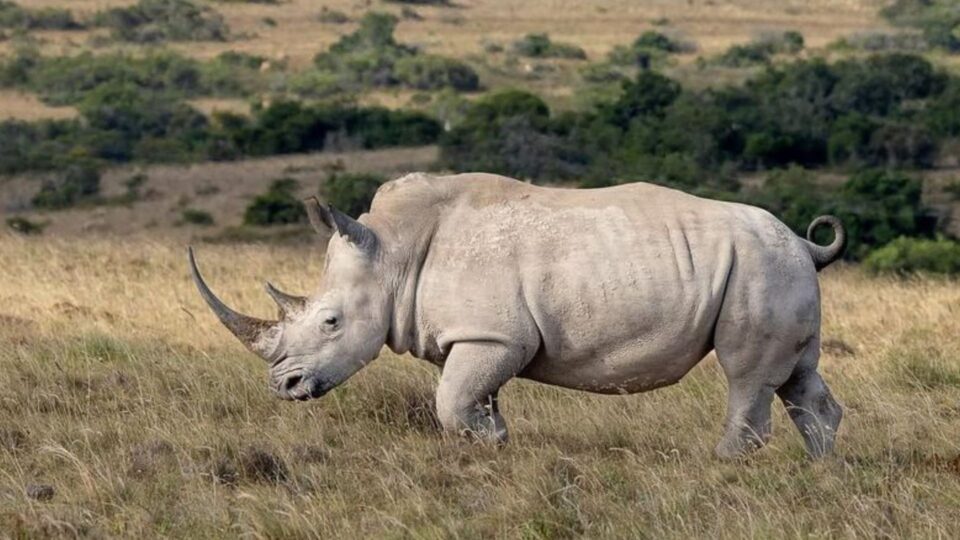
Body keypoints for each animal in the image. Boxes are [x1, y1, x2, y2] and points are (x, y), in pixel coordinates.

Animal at [189, 172, 846, 458]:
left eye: (330, 322)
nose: (285, 387)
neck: (393, 253)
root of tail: (803, 242)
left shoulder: (495, 335)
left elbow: (452, 404)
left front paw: (494, 448)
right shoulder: (480, 337)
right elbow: (471, 401)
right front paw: (497, 447)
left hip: (761, 266)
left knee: (747, 375)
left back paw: (723, 467)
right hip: (777, 267)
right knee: (798, 379)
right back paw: (821, 471)